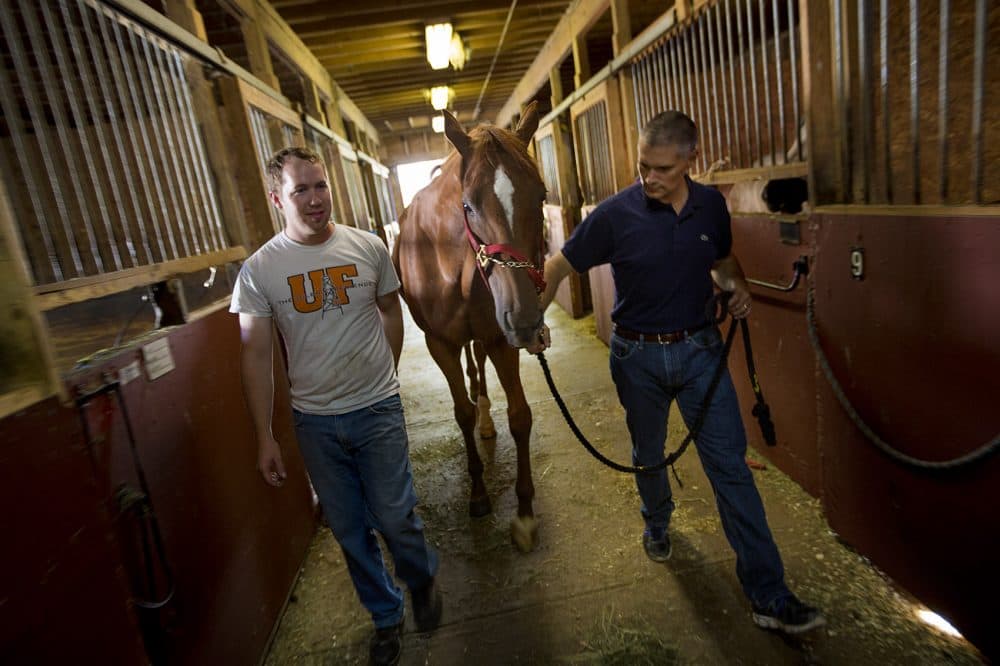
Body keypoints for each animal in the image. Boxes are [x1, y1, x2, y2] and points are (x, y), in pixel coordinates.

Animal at [392, 102, 547, 552]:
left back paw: (486, 420)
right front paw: (478, 493)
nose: (526, 319)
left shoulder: (499, 337)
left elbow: (520, 416)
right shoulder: (439, 343)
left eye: (542, 196)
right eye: (469, 206)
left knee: (477, 367)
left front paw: (525, 513)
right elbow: (459, 412)